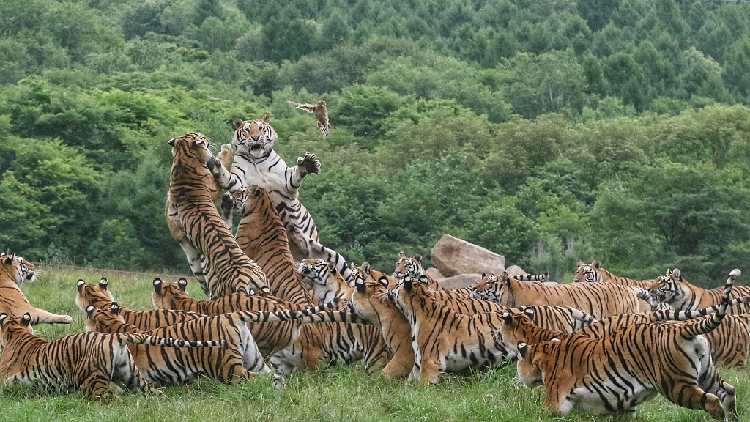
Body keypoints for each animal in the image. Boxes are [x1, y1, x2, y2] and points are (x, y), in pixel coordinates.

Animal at [0, 312, 223, 403]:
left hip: (91, 381)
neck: (16, 332)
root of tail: (115, 336)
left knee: (111, 399)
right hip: (132, 378)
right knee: (156, 393)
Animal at [166, 132, 267, 298]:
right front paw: (226, 151)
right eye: (200, 136)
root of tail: (242, 279)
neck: (182, 159)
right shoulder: (214, 186)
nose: (207, 137)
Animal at [207, 114, 322, 262]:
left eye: (261, 128)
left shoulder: (286, 181)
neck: (256, 158)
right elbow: (227, 178)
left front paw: (308, 163)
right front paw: (215, 164)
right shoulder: (238, 181)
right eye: (247, 130)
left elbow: (296, 175)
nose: (256, 137)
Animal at [515, 269, 740, 421]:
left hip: (676, 384)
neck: (546, 352)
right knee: (728, 391)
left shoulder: (555, 402)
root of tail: (682, 328)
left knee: (712, 402)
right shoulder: (622, 406)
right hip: (706, 374)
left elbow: (541, 413)